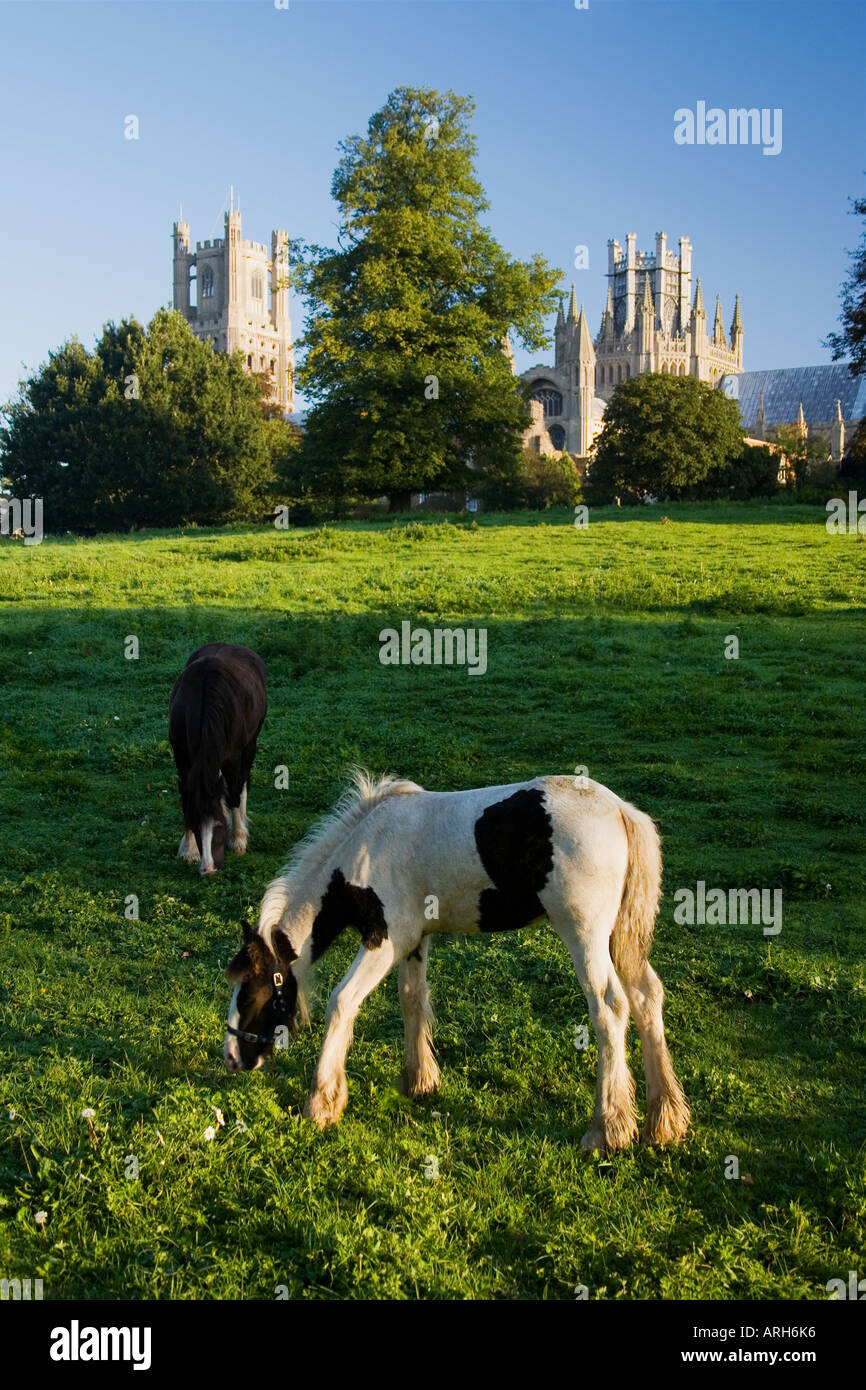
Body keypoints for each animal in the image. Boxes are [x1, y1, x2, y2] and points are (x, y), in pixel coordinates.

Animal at [168, 643, 267, 875]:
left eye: (219, 826)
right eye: (196, 825)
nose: (209, 868)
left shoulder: (233, 756)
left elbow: (234, 794)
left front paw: (238, 839)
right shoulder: (182, 758)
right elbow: (187, 799)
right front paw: (189, 850)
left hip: (250, 744)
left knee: (241, 783)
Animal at [223, 770, 690, 1153]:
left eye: (249, 994)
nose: (232, 1058)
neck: (367, 849)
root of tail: (622, 811)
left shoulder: (384, 939)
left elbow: (342, 1001)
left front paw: (322, 1103)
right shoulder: (414, 941)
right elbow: (412, 998)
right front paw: (419, 1081)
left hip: (585, 935)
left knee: (610, 1007)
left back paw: (606, 1130)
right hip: (618, 938)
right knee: (647, 997)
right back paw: (663, 1121)